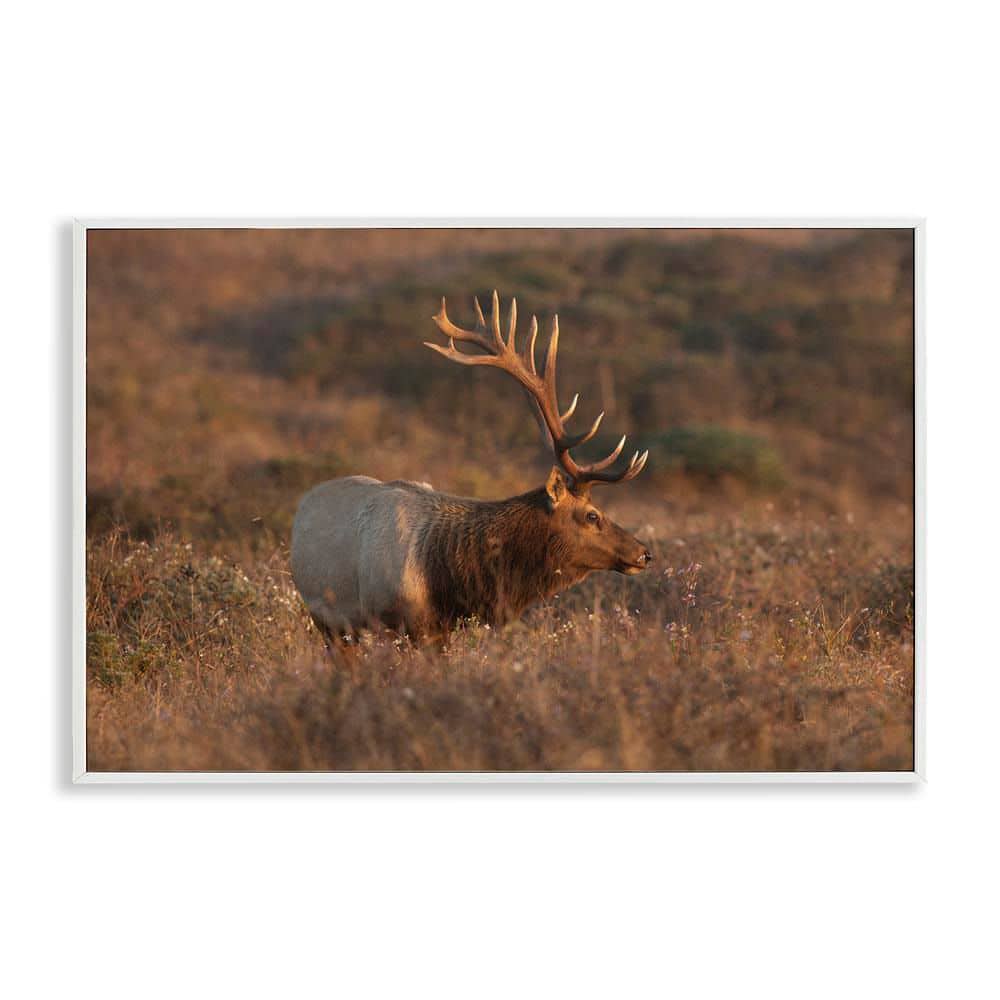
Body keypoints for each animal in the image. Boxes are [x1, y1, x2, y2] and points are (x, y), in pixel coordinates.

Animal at [290, 291, 652, 643]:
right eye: (592, 515)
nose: (644, 552)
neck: (444, 580)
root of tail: (304, 503)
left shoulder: (439, 630)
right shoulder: (393, 623)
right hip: (329, 621)